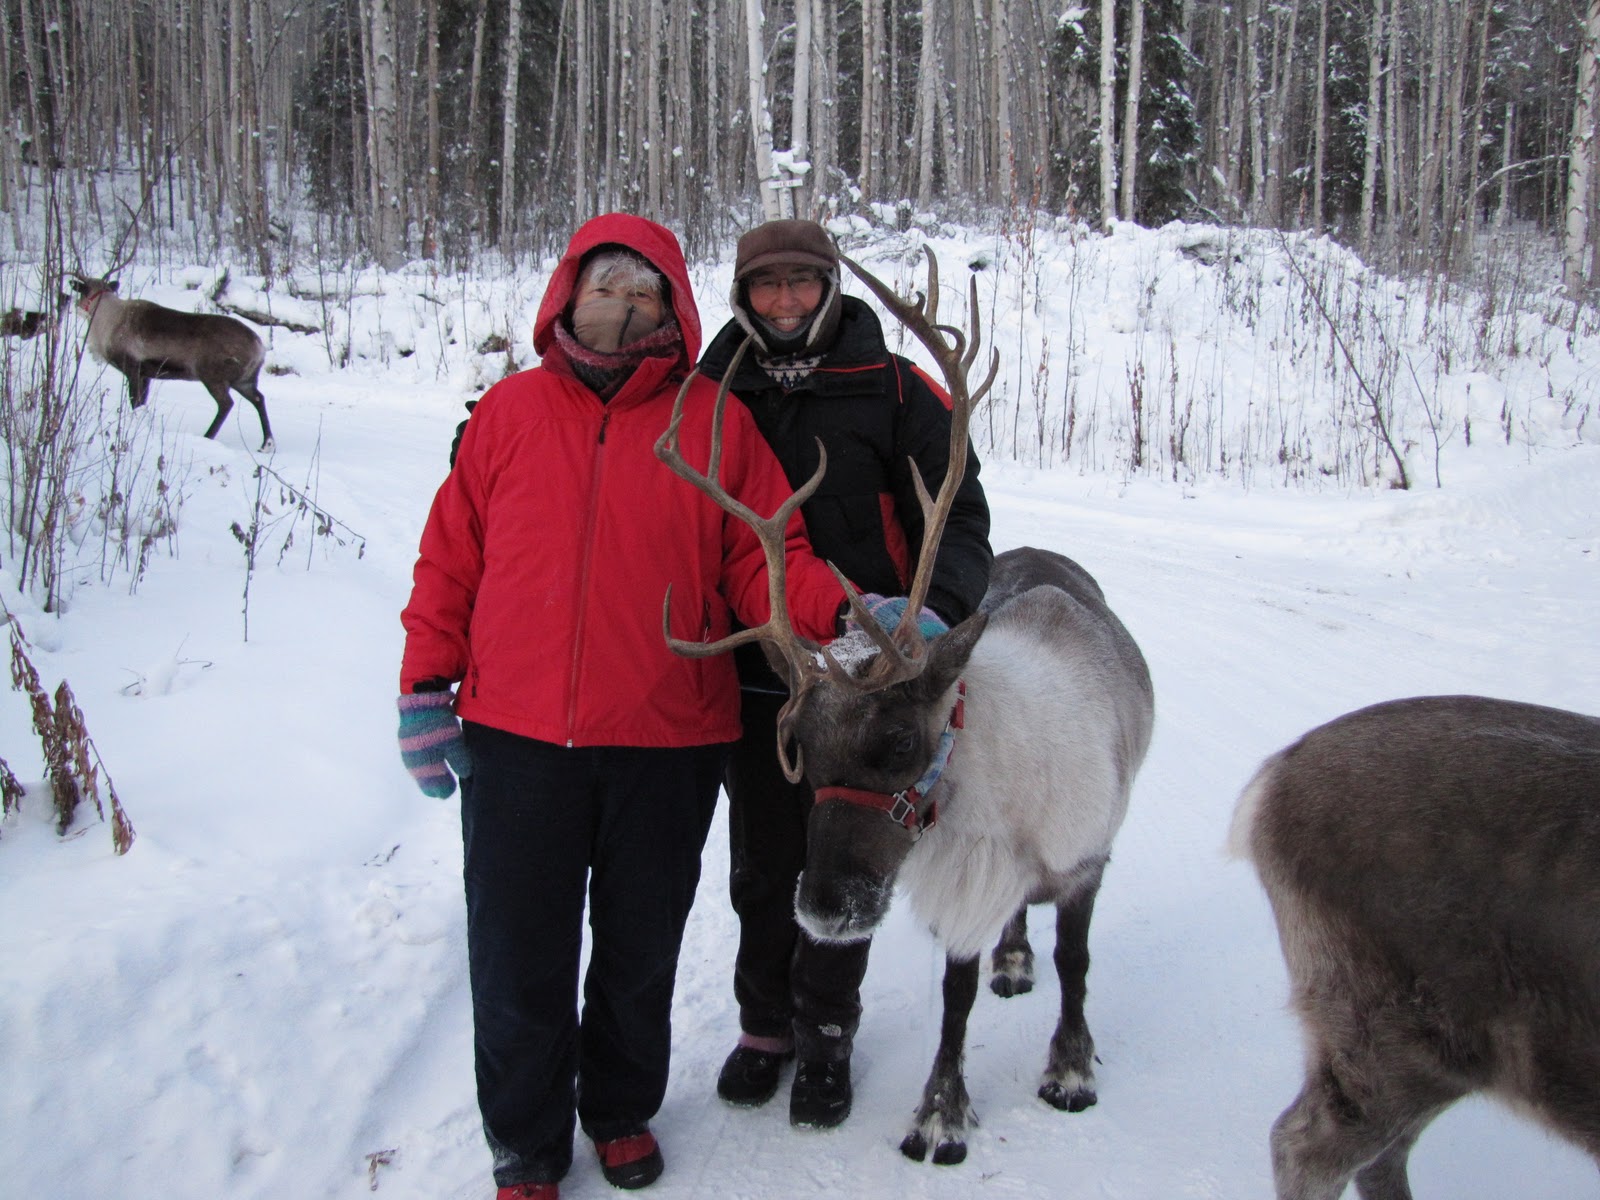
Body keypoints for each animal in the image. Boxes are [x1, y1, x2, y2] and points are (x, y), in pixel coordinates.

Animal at [68, 271, 273, 450]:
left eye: (82, 290)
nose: (76, 306)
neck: (108, 320)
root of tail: (259, 347)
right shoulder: (146, 375)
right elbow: (141, 402)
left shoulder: (132, 369)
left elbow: (135, 401)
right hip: (244, 381)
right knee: (259, 399)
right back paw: (266, 444)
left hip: (213, 377)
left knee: (226, 404)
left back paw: (208, 436)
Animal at [655, 247, 1155, 1166]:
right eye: (798, 753)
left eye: (896, 742)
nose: (821, 910)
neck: (987, 804)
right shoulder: (960, 891)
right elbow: (956, 1001)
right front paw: (940, 1113)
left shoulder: (1087, 857)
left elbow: (1078, 964)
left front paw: (1070, 1070)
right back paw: (1012, 959)